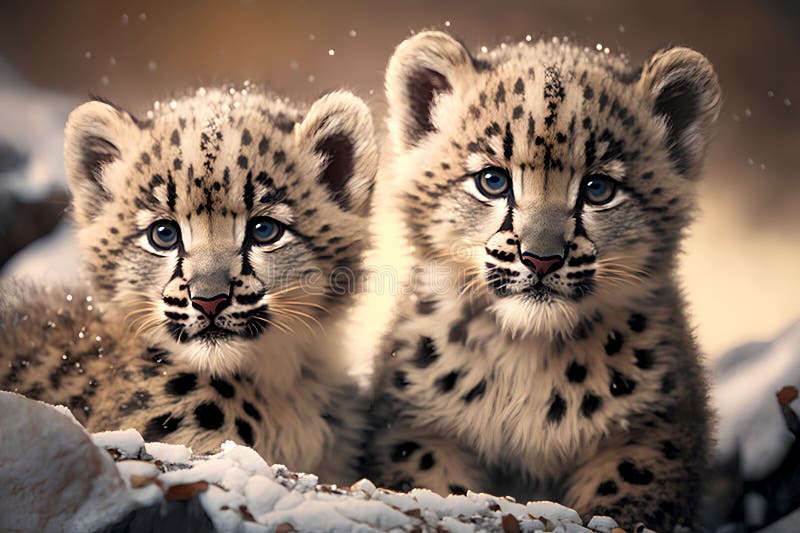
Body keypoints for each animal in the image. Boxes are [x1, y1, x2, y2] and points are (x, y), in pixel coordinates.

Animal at [365, 31, 721, 531]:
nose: (541, 259)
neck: (528, 358)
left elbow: (631, 485)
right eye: (492, 180)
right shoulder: (415, 424)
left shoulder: (652, 428)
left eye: (598, 188)